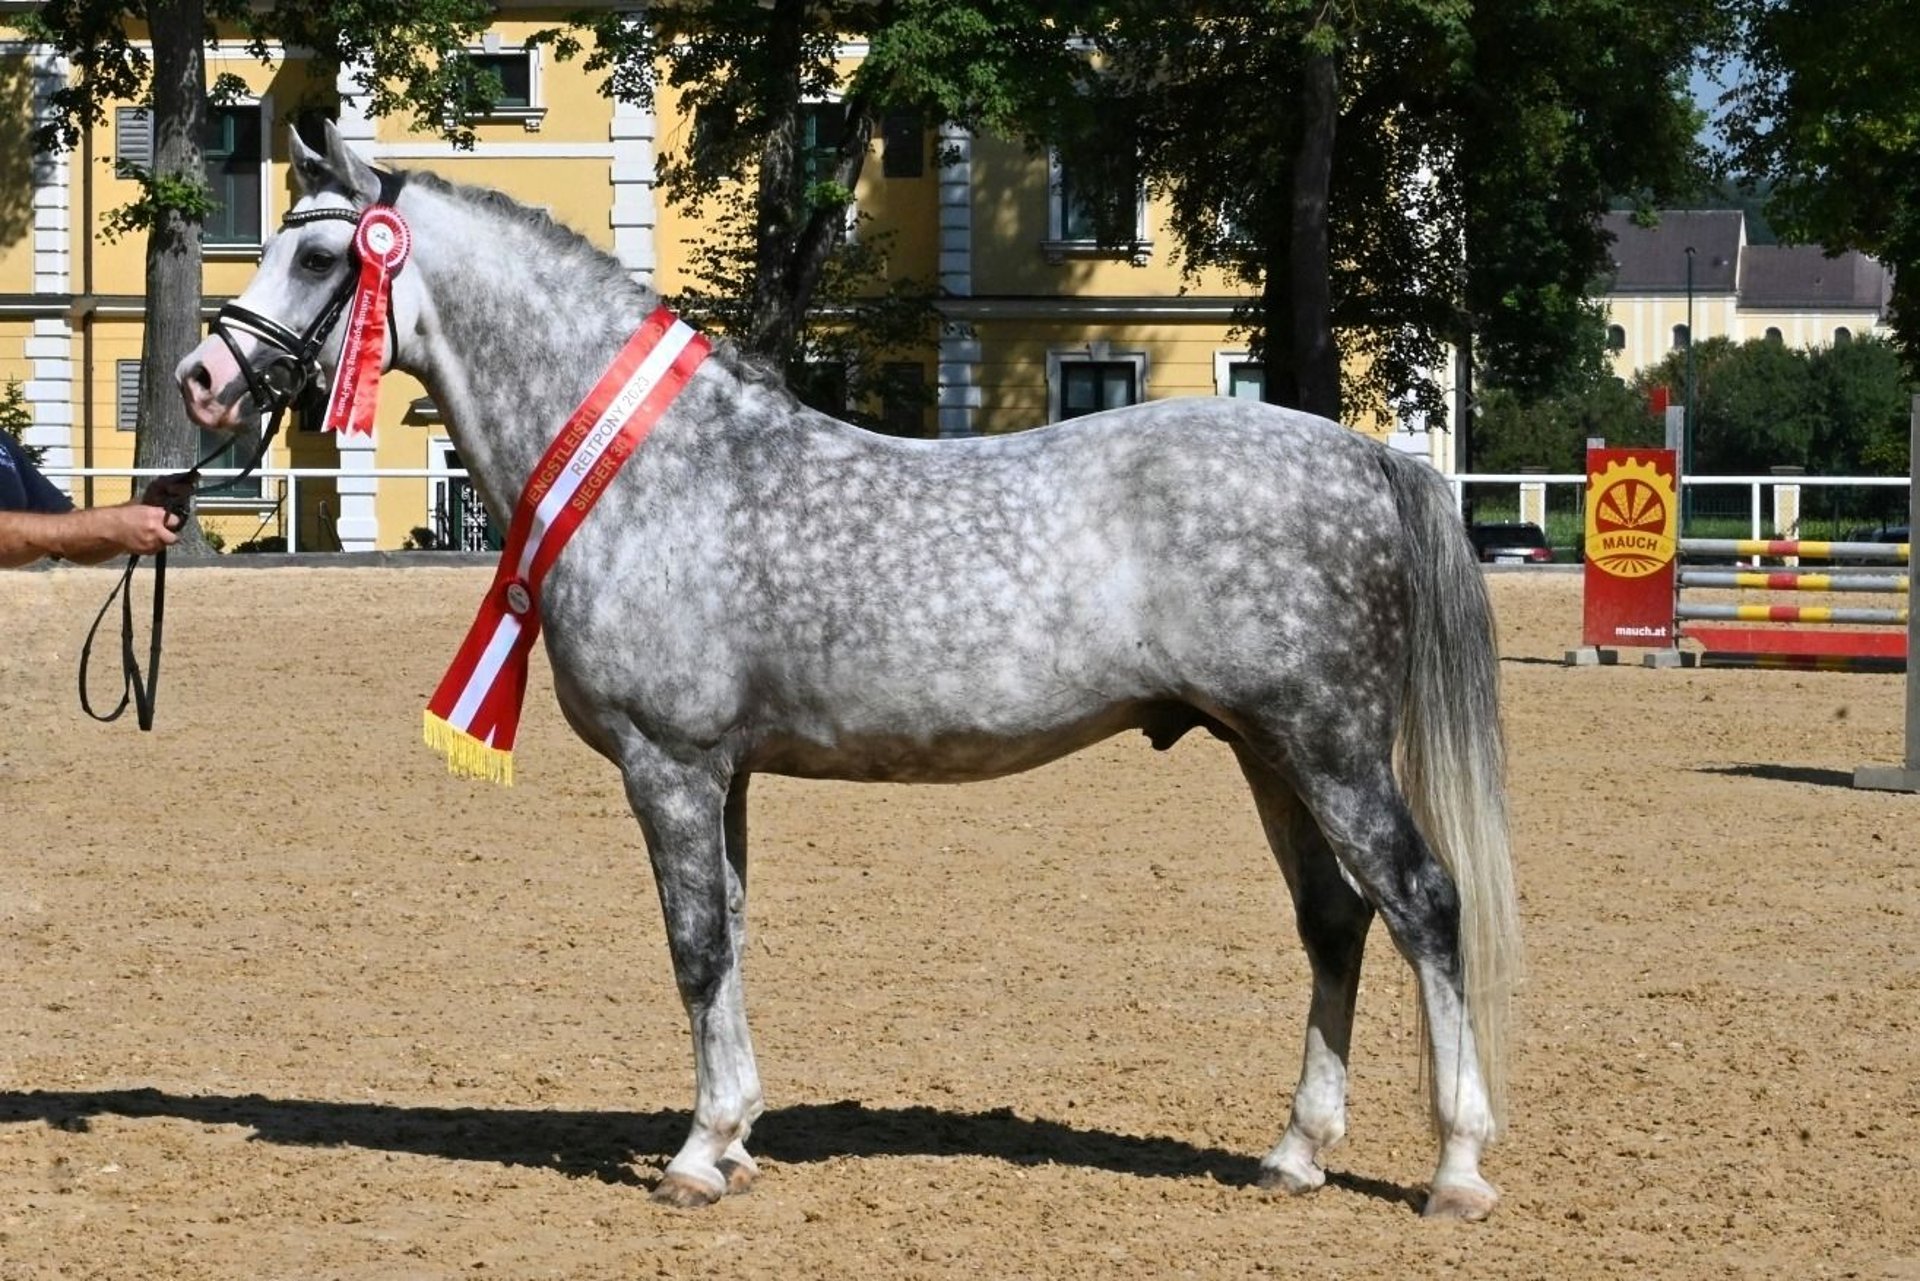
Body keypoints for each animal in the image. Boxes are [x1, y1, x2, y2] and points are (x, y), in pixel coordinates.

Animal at [177, 123, 1521, 1219]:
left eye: (321, 258)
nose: (203, 380)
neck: (652, 466)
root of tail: (1364, 457)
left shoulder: (670, 764)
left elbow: (694, 943)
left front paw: (694, 1156)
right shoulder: (724, 773)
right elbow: (729, 932)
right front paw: (733, 1138)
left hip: (1328, 748)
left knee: (1423, 904)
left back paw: (1456, 1169)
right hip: (1267, 751)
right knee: (1336, 919)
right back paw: (1295, 1152)